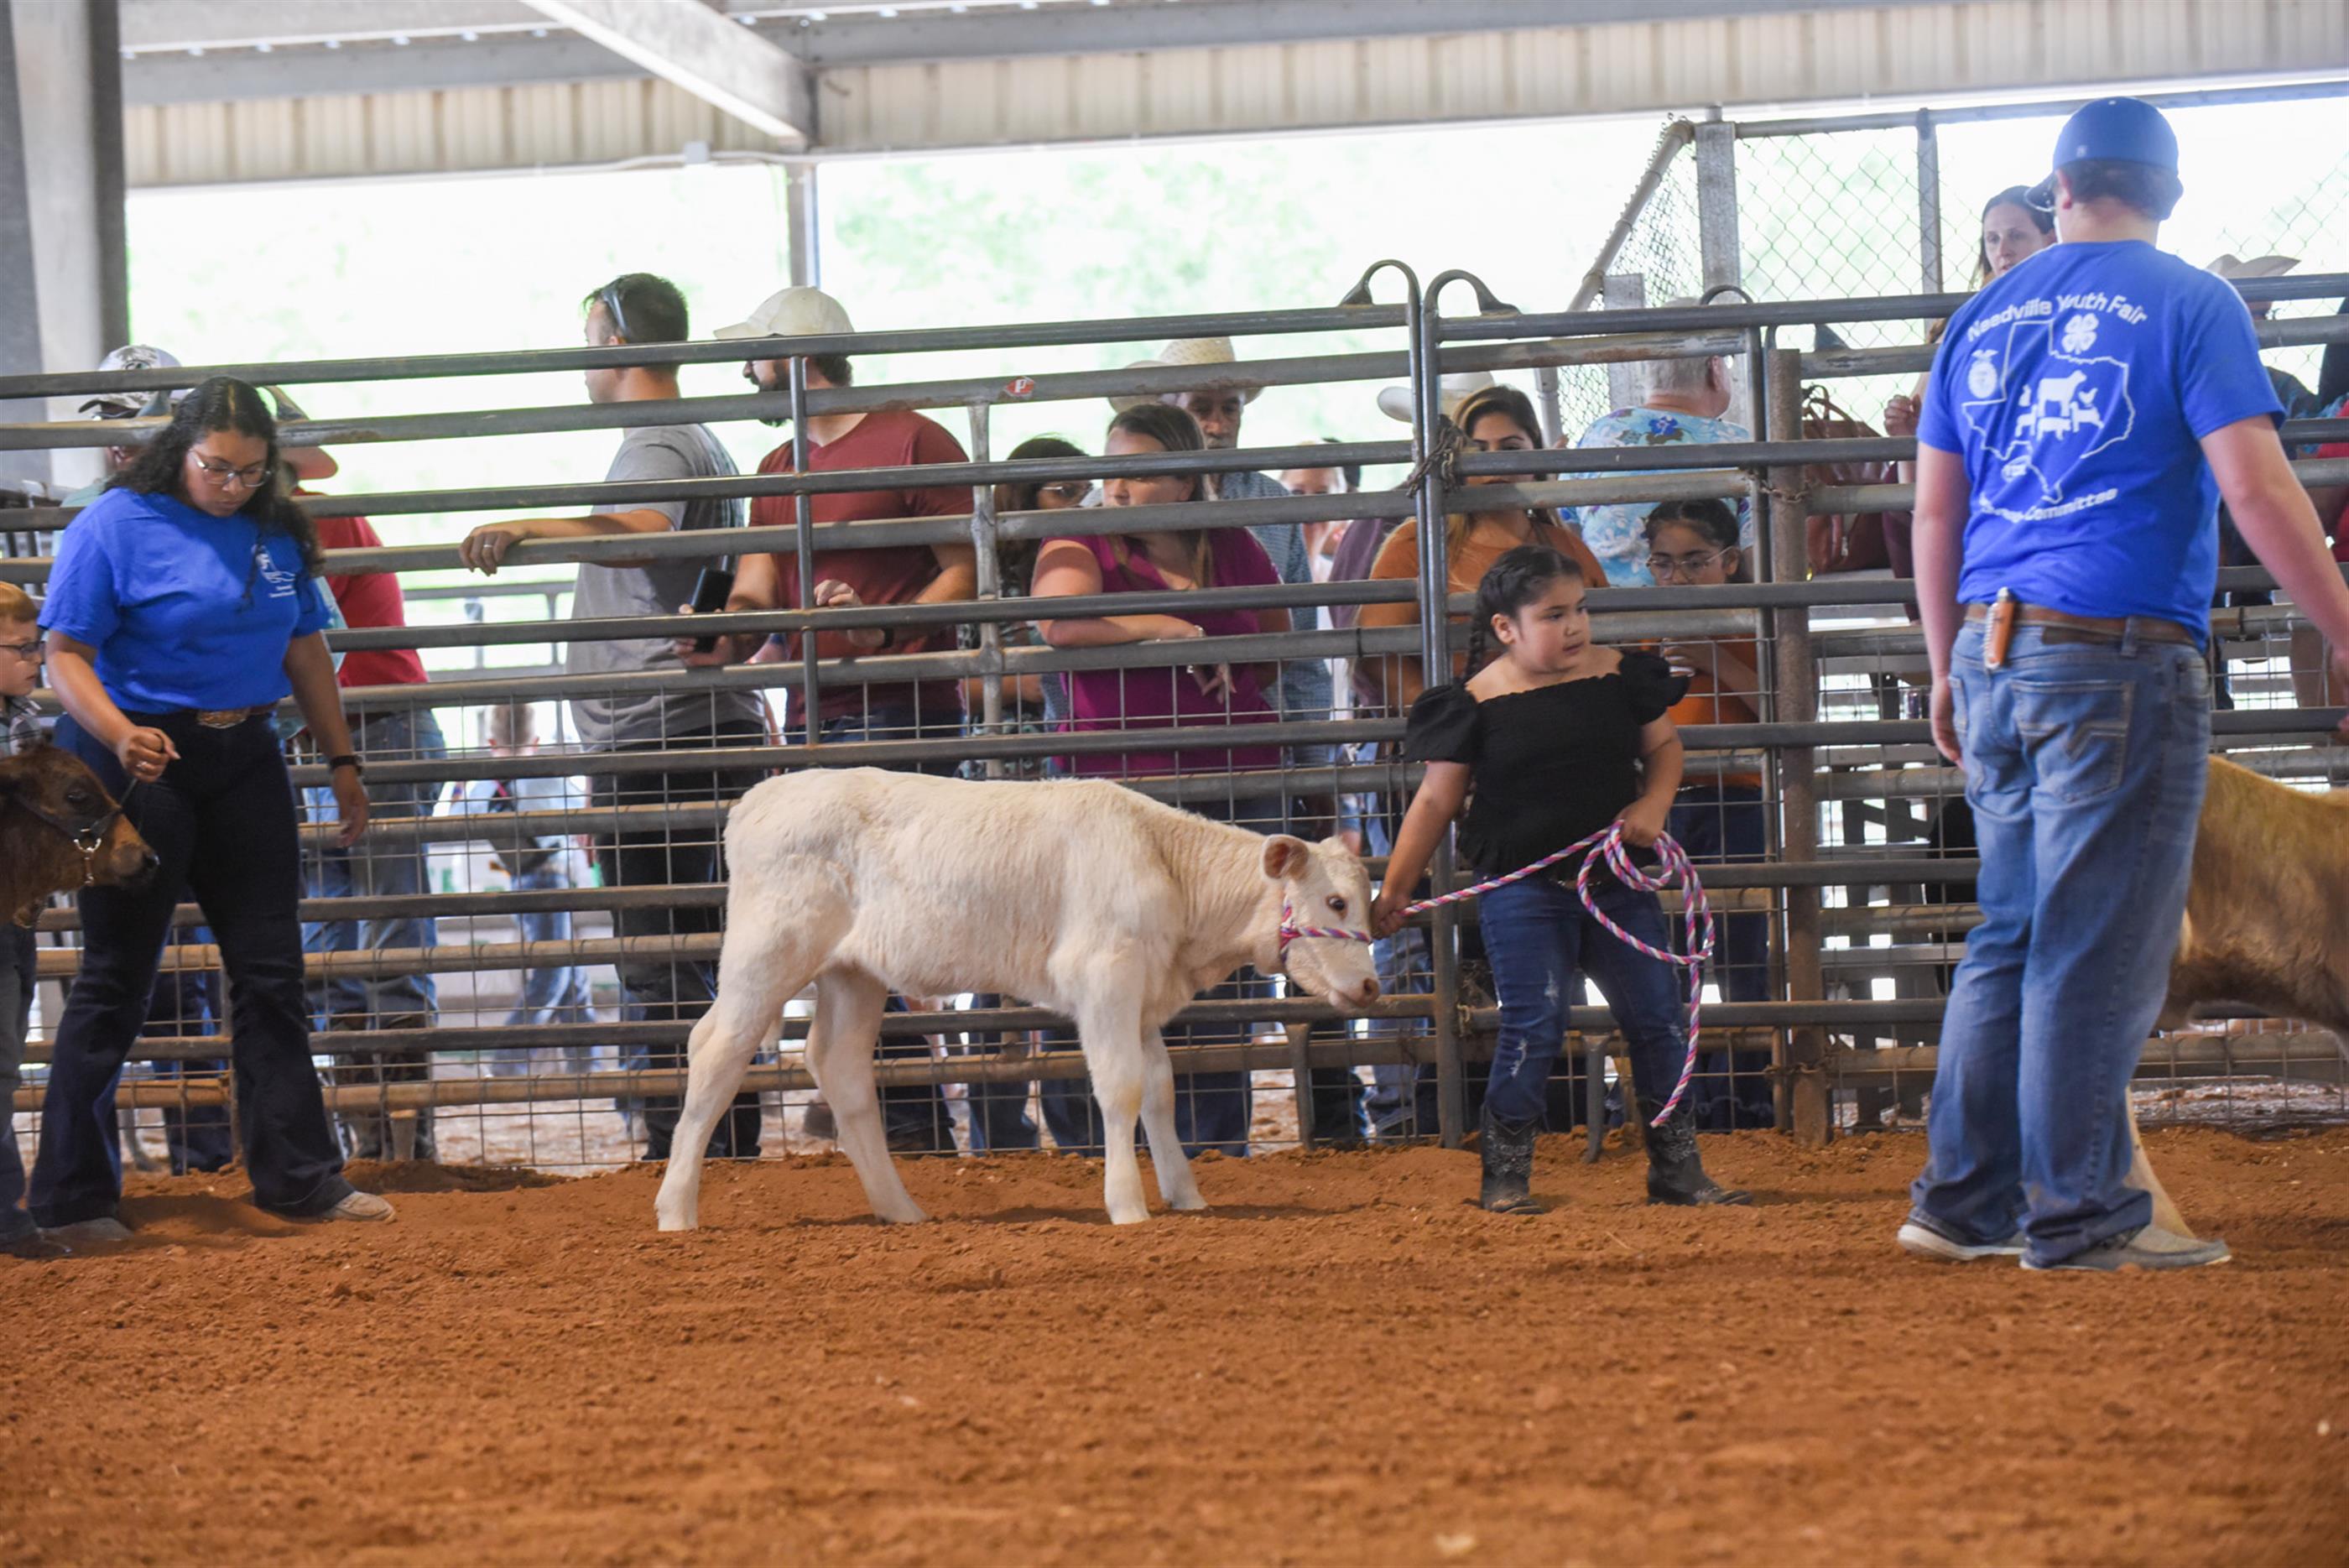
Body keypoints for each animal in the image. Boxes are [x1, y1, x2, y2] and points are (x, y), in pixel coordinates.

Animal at [654, 769, 1381, 1231]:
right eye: (1334, 902)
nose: (1373, 986)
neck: (1163, 862)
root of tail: (758, 797)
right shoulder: (1105, 975)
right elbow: (1120, 1087)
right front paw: (1127, 1204)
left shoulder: (1142, 993)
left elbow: (1160, 1088)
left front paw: (1186, 1194)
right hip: (768, 950)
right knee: (716, 1049)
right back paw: (676, 1209)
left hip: (852, 972)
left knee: (839, 1065)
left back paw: (899, 1208)